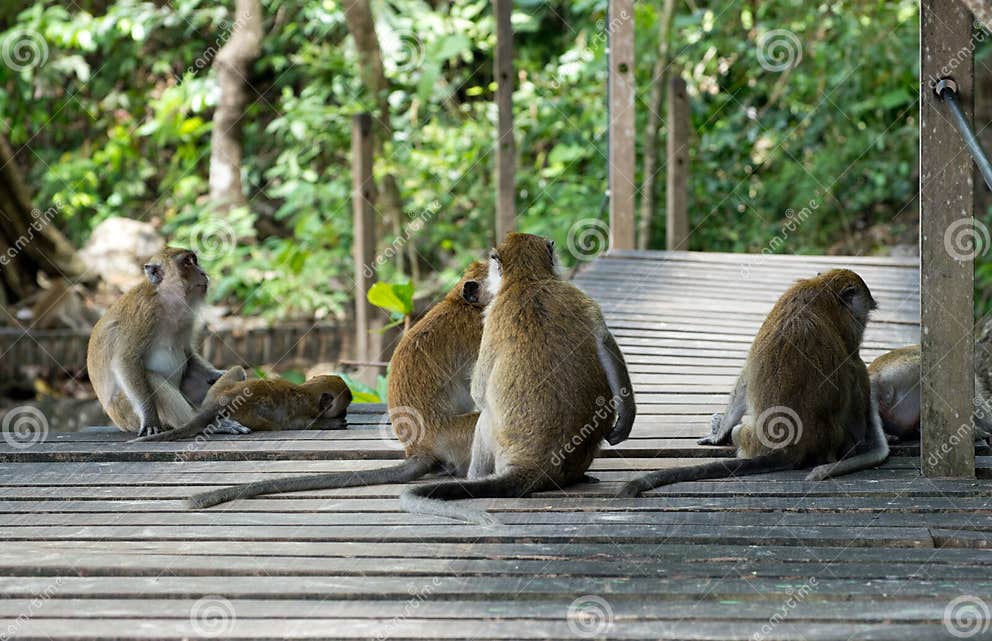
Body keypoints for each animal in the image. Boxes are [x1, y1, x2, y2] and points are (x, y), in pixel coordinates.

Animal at [86, 247, 245, 437]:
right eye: (187, 263)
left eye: (195, 261)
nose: (203, 272)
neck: (166, 301)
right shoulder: (143, 314)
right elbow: (125, 361)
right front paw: (149, 419)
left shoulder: (187, 316)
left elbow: (187, 353)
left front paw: (217, 373)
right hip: (126, 412)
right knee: (151, 378)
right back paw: (204, 424)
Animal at [130, 365, 352, 443]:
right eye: (345, 408)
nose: (344, 414)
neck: (307, 390)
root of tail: (219, 402)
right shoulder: (303, 409)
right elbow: (299, 424)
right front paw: (332, 424)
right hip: (248, 414)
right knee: (271, 423)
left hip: (218, 389)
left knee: (237, 369)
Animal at [399, 232, 637, 524]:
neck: (528, 280)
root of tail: (537, 466)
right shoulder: (574, 295)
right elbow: (604, 341)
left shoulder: (490, 318)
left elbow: (479, 391)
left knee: (484, 417)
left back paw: (476, 477)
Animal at [620, 269, 888, 497]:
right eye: (863, 314)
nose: (864, 322)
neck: (821, 288)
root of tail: (794, 446)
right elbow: (854, 364)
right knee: (854, 368)